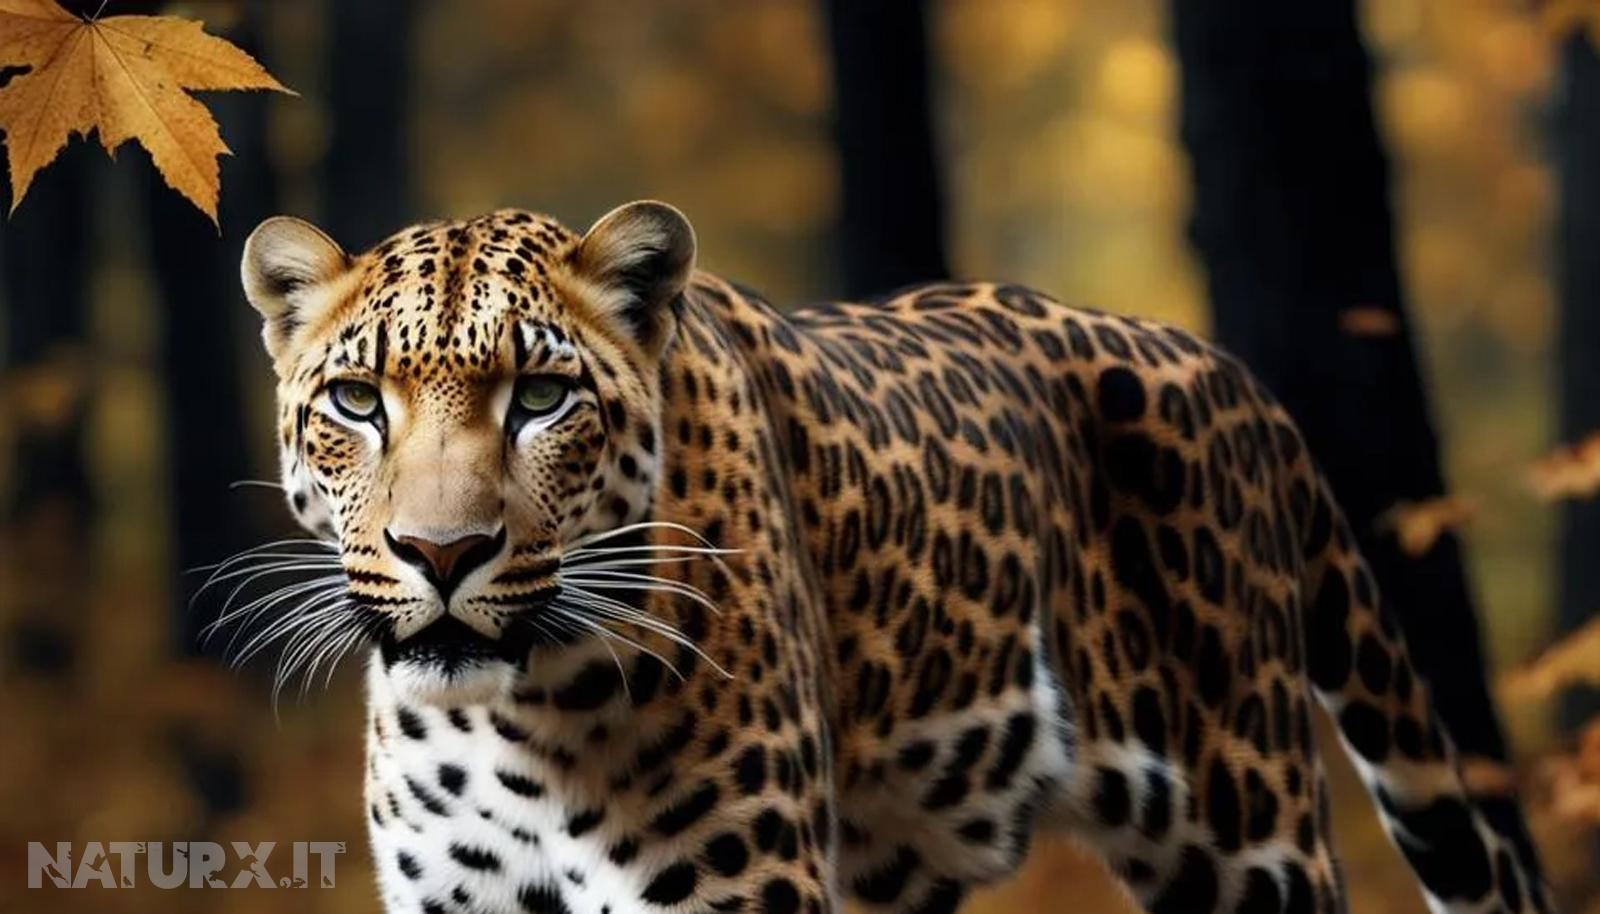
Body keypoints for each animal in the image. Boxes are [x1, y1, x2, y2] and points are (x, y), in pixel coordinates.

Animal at [237, 200, 1551, 914]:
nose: (441, 550)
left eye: (543, 397)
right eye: (356, 401)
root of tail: (1231, 372)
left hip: (1251, 827)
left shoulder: (729, 884)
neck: (509, 718)